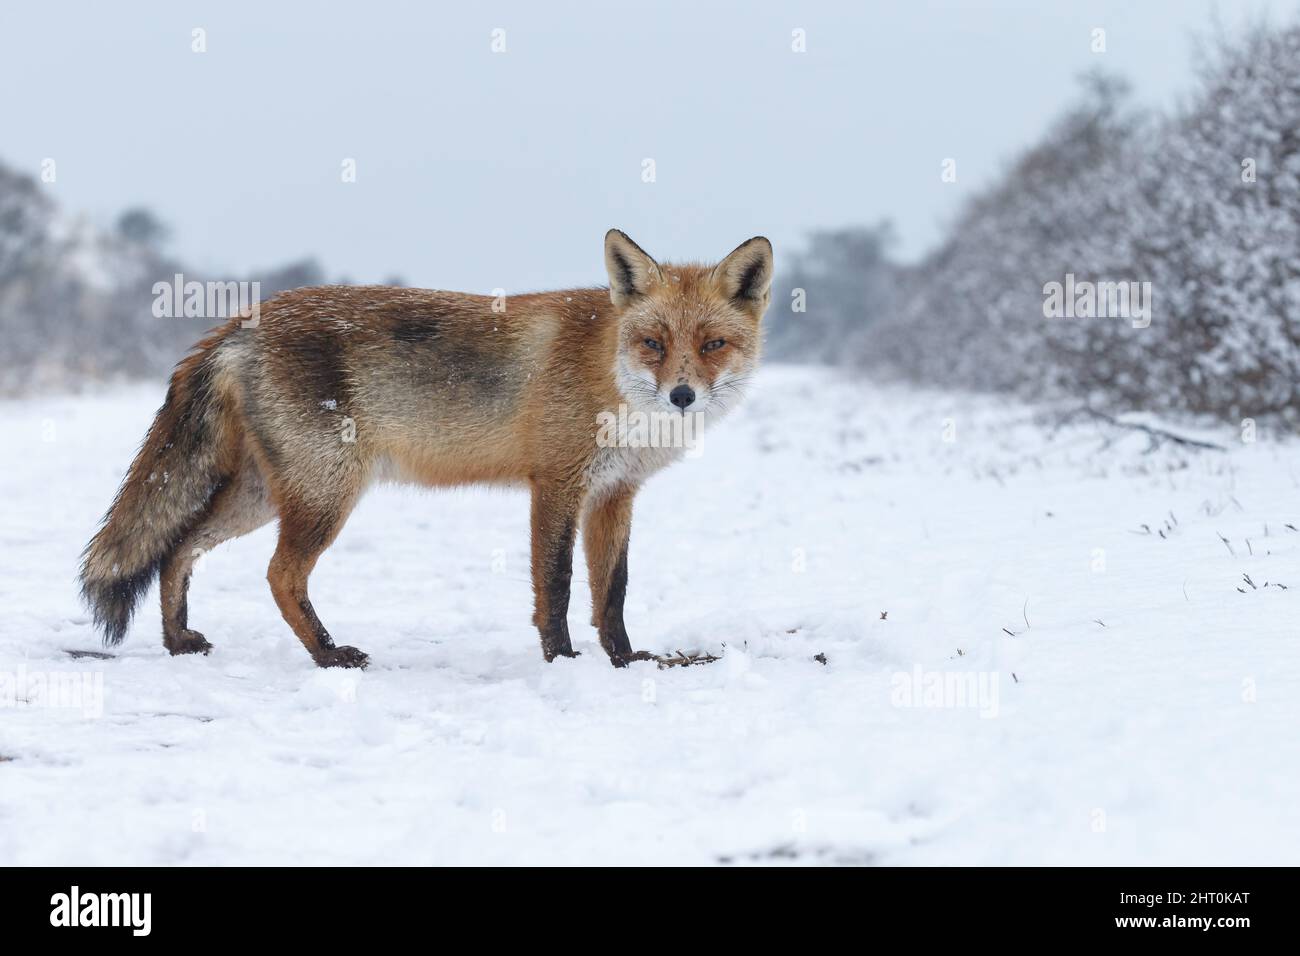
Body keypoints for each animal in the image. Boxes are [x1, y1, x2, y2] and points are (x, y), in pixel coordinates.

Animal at [79, 230, 773, 668]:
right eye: (653, 343)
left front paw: (625, 661)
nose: (682, 396)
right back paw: (329, 654)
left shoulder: (614, 493)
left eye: (712, 344)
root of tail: (240, 321)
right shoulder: (556, 484)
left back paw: (178, 641)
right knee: (277, 574)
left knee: (179, 549)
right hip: (326, 493)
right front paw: (562, 661)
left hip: (265, 495)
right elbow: (557, 586)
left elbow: (614, 592)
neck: (610, 375)